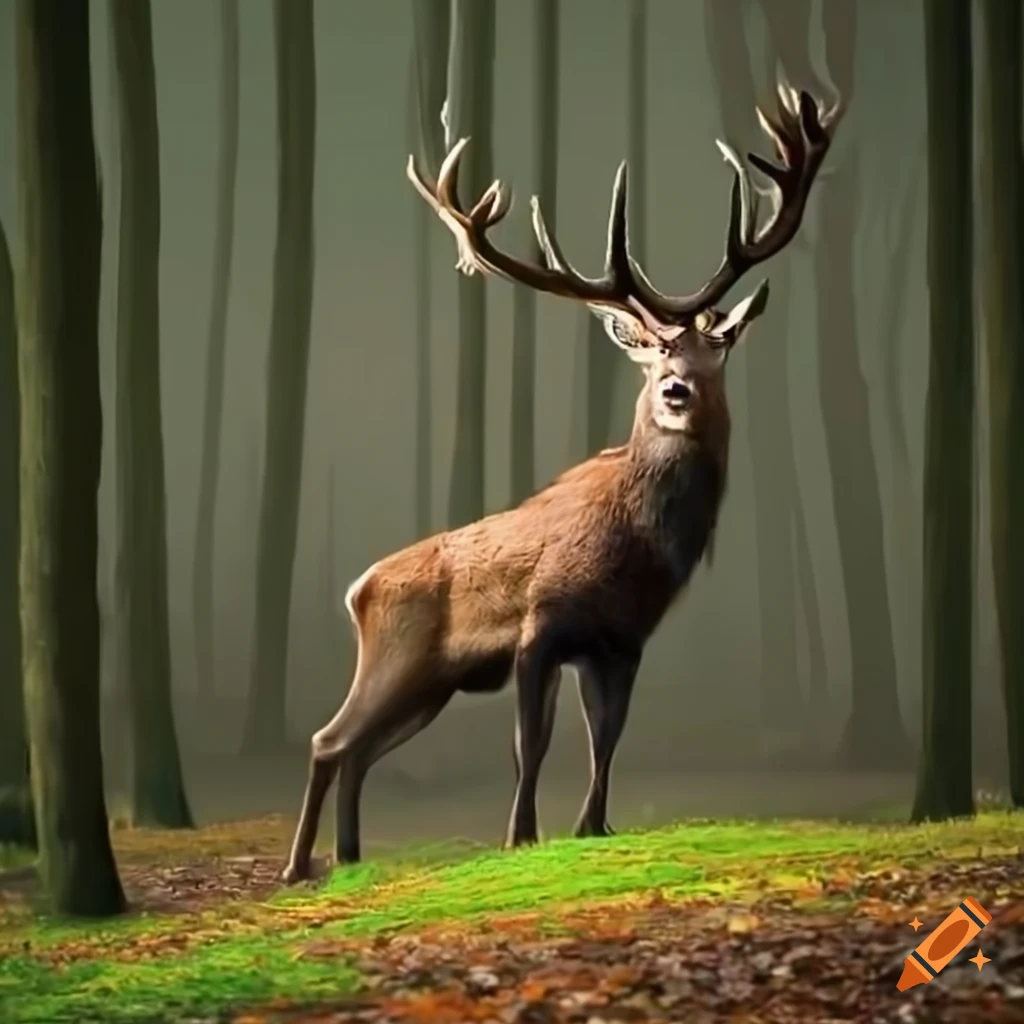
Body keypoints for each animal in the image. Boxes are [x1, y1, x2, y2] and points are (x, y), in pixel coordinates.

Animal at [280, 82, 840, 884]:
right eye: (656, 353)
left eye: (716, 347)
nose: (676, 391)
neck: (635, 551)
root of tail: (359, 590)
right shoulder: (540, 625)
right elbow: (531, 743)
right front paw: (522, 835)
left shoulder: (624, 640)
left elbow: (607, 736)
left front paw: (592, 826)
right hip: (398, 654)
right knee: (330, 740)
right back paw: (298, 867)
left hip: (430, 683)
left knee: (358, 750)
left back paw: (351, 858)